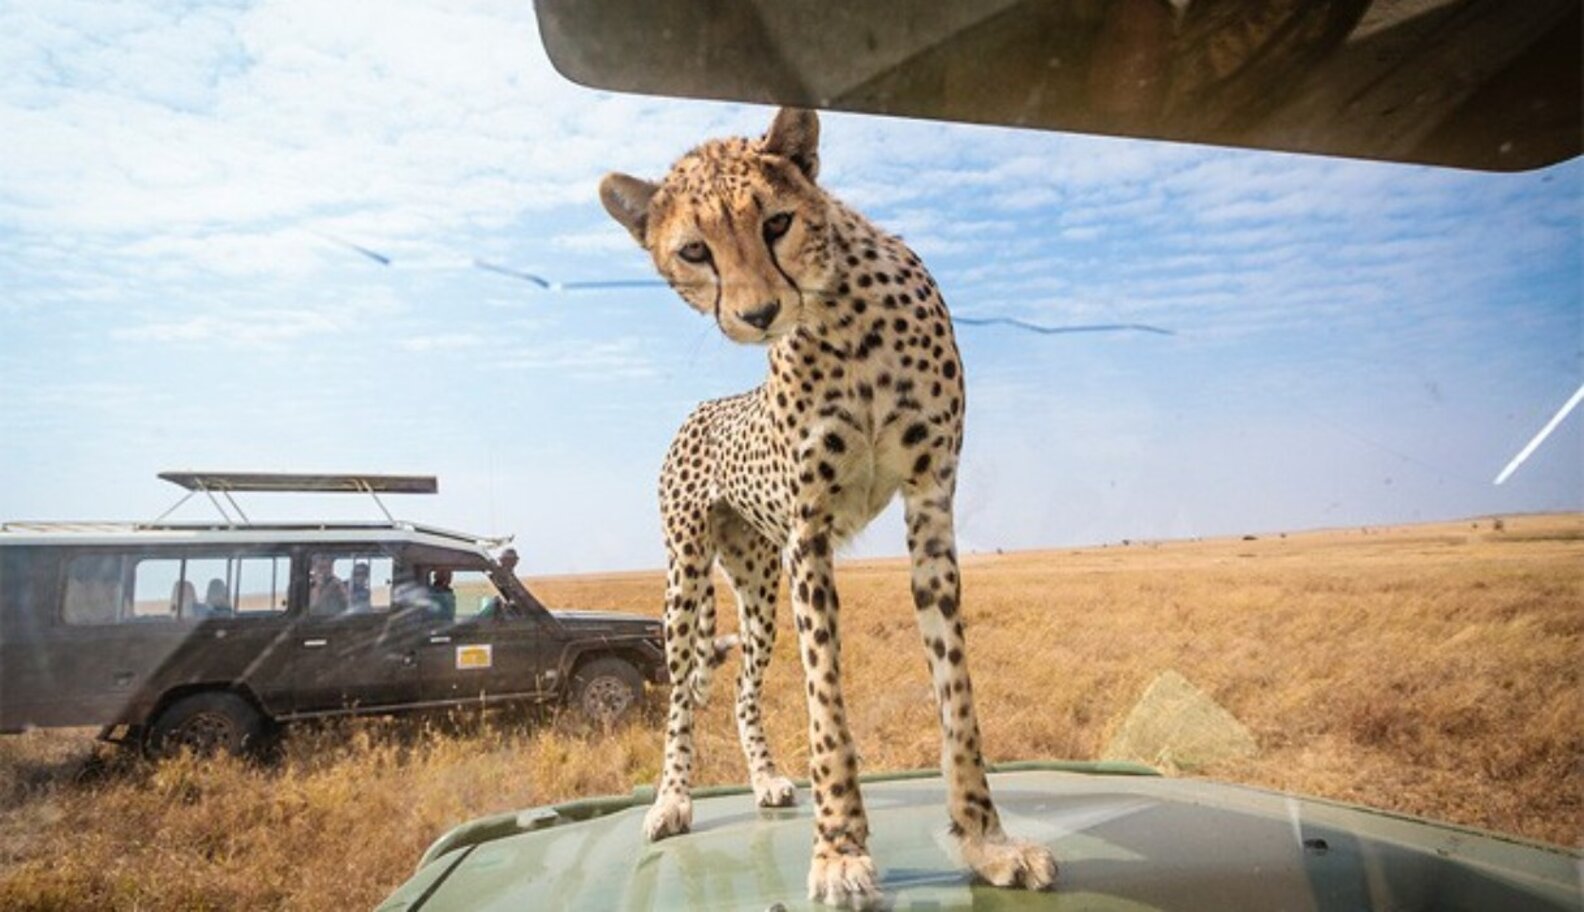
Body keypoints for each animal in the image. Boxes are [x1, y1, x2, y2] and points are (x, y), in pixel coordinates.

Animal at [598, 107, 1057, 908]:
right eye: (695, 251)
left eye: (777, 222)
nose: (758, 313)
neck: (843, 320)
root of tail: (702, 408)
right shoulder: (808, 538)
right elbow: (826, 708)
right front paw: (840, 849)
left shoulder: (930, 505)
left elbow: (956, 698)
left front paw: (985, 841)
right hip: (686, 579)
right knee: (684, 693)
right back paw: (671, 800)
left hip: (757, 595)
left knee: (743, 689)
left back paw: (764, 780)